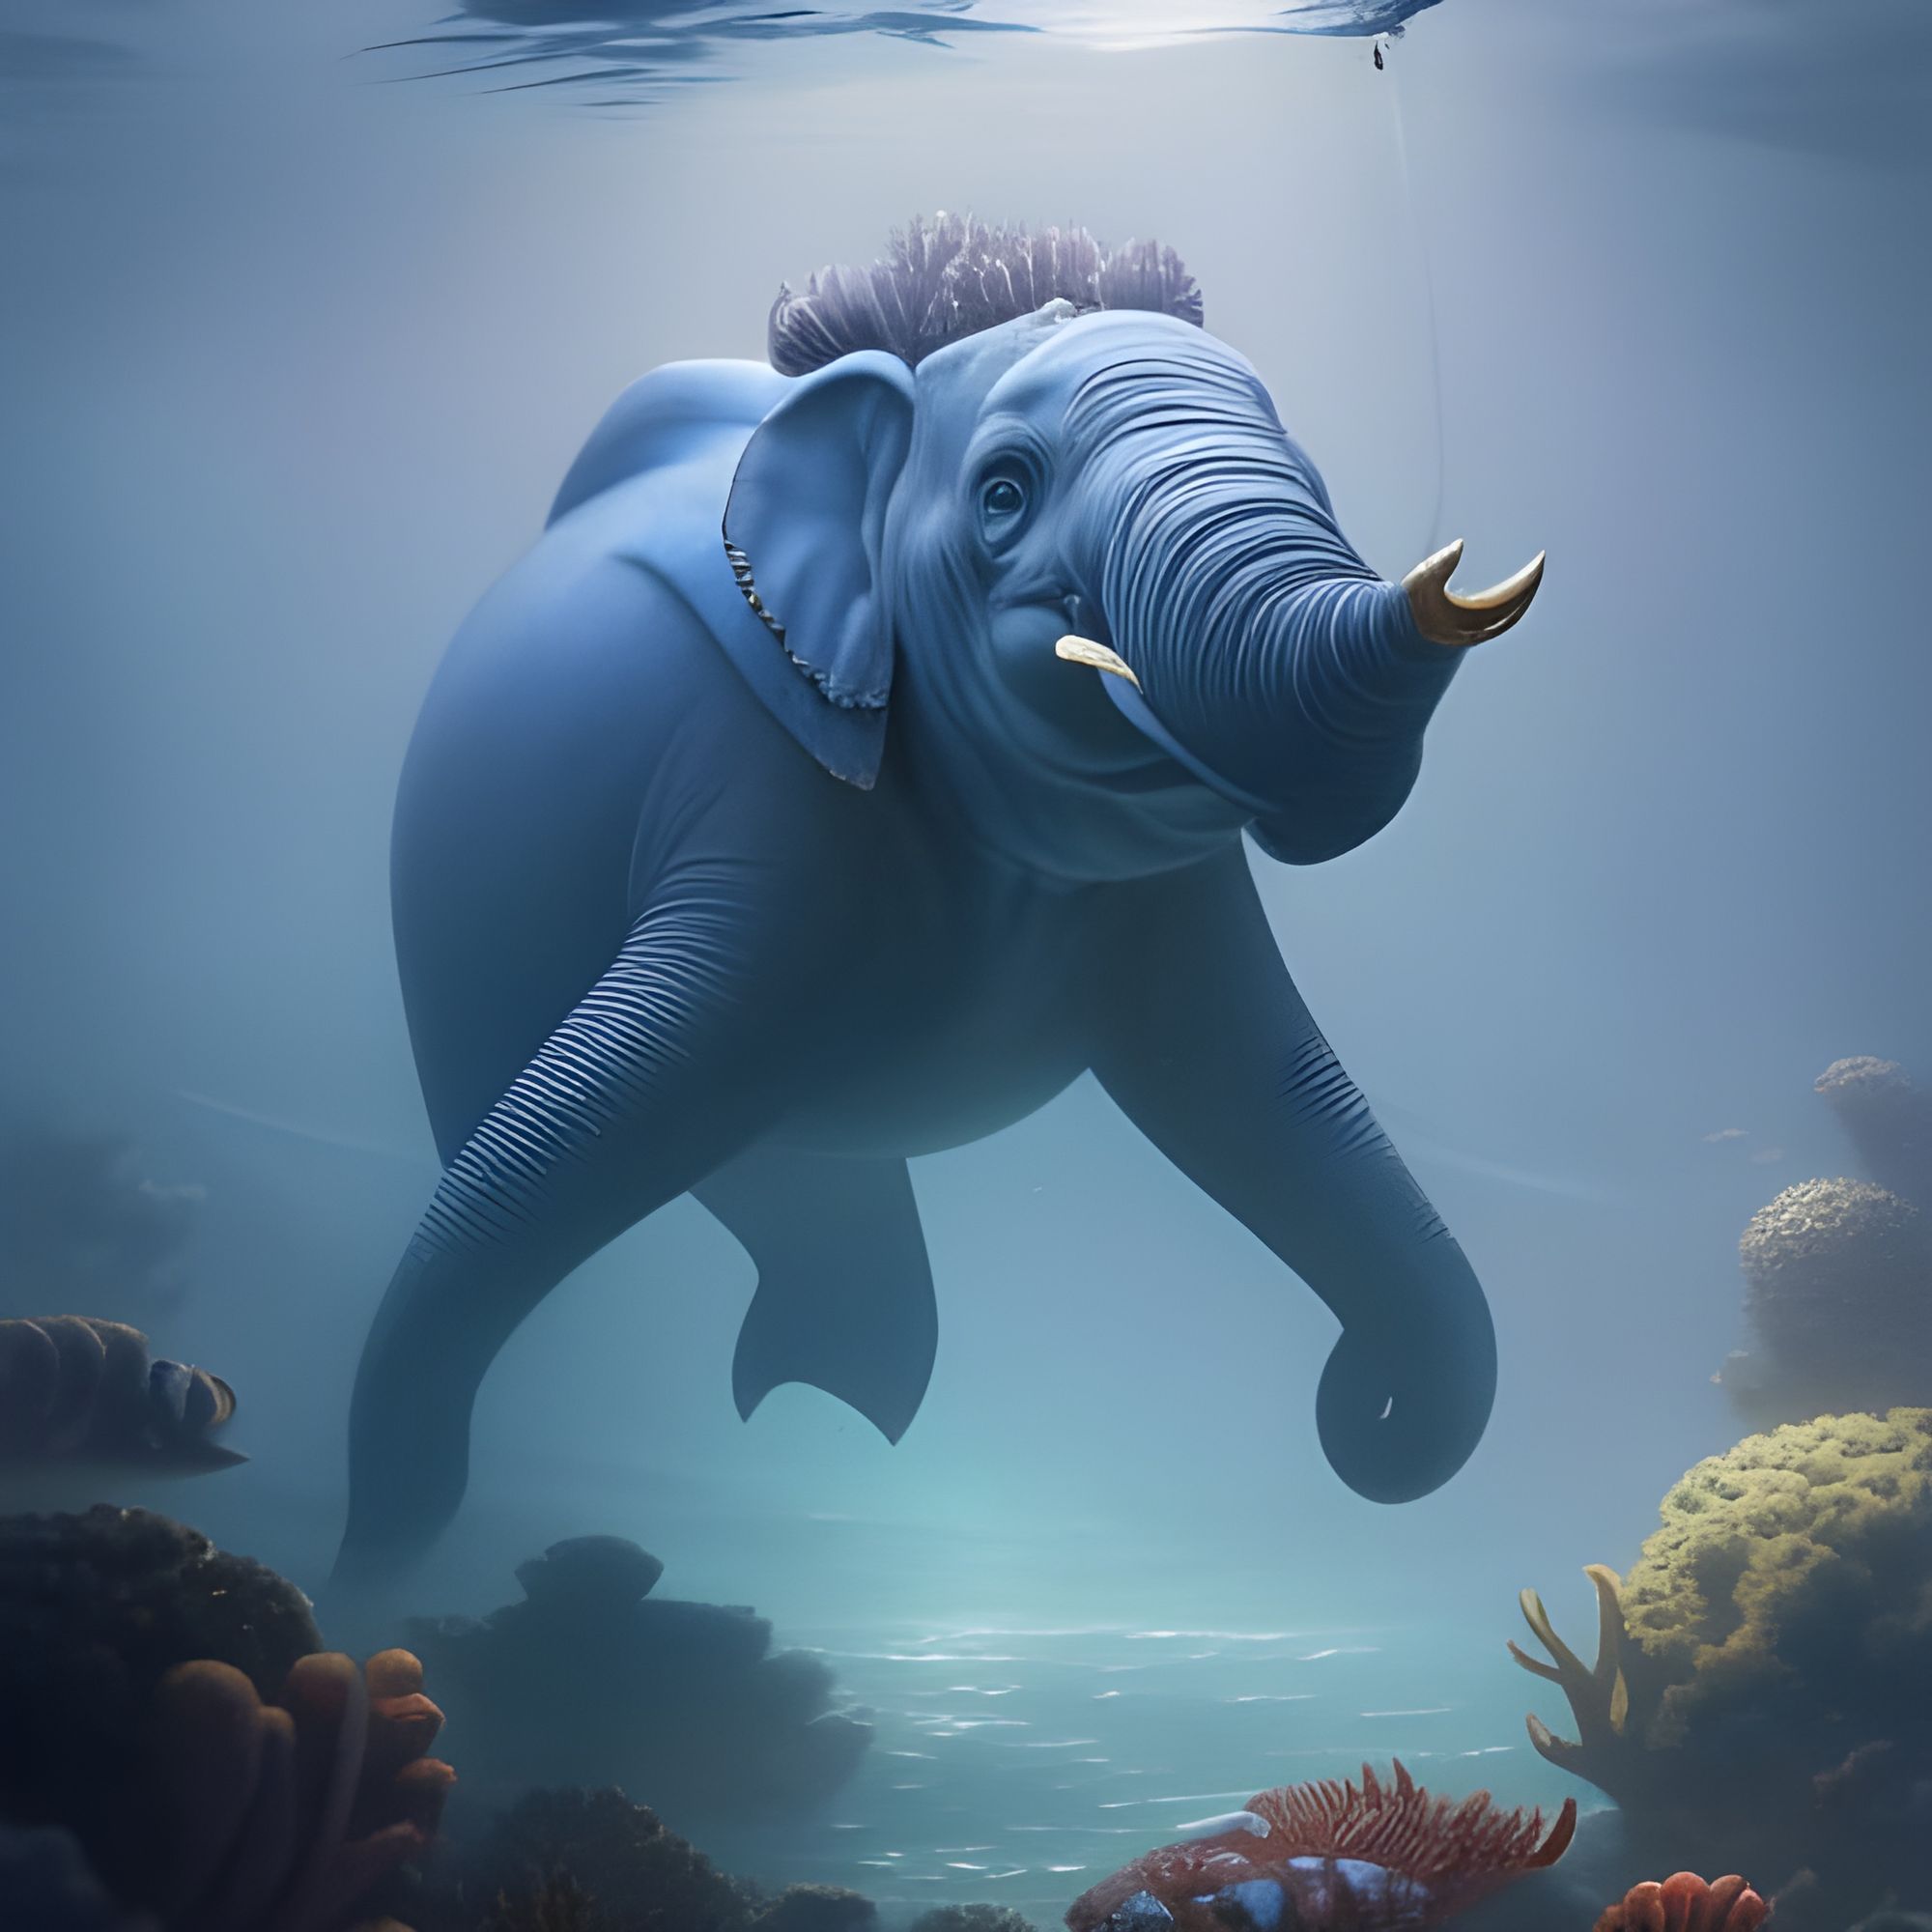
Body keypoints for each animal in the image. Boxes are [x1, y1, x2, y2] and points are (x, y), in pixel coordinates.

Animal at [336, 222, 1542, 1578]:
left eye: (1306, 460)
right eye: (1003, 492)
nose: (1354, 1401)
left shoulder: (1174, 908)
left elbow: (1262, 1094)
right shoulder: (755, 792)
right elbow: (551, 1132)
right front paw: (378, 1555)